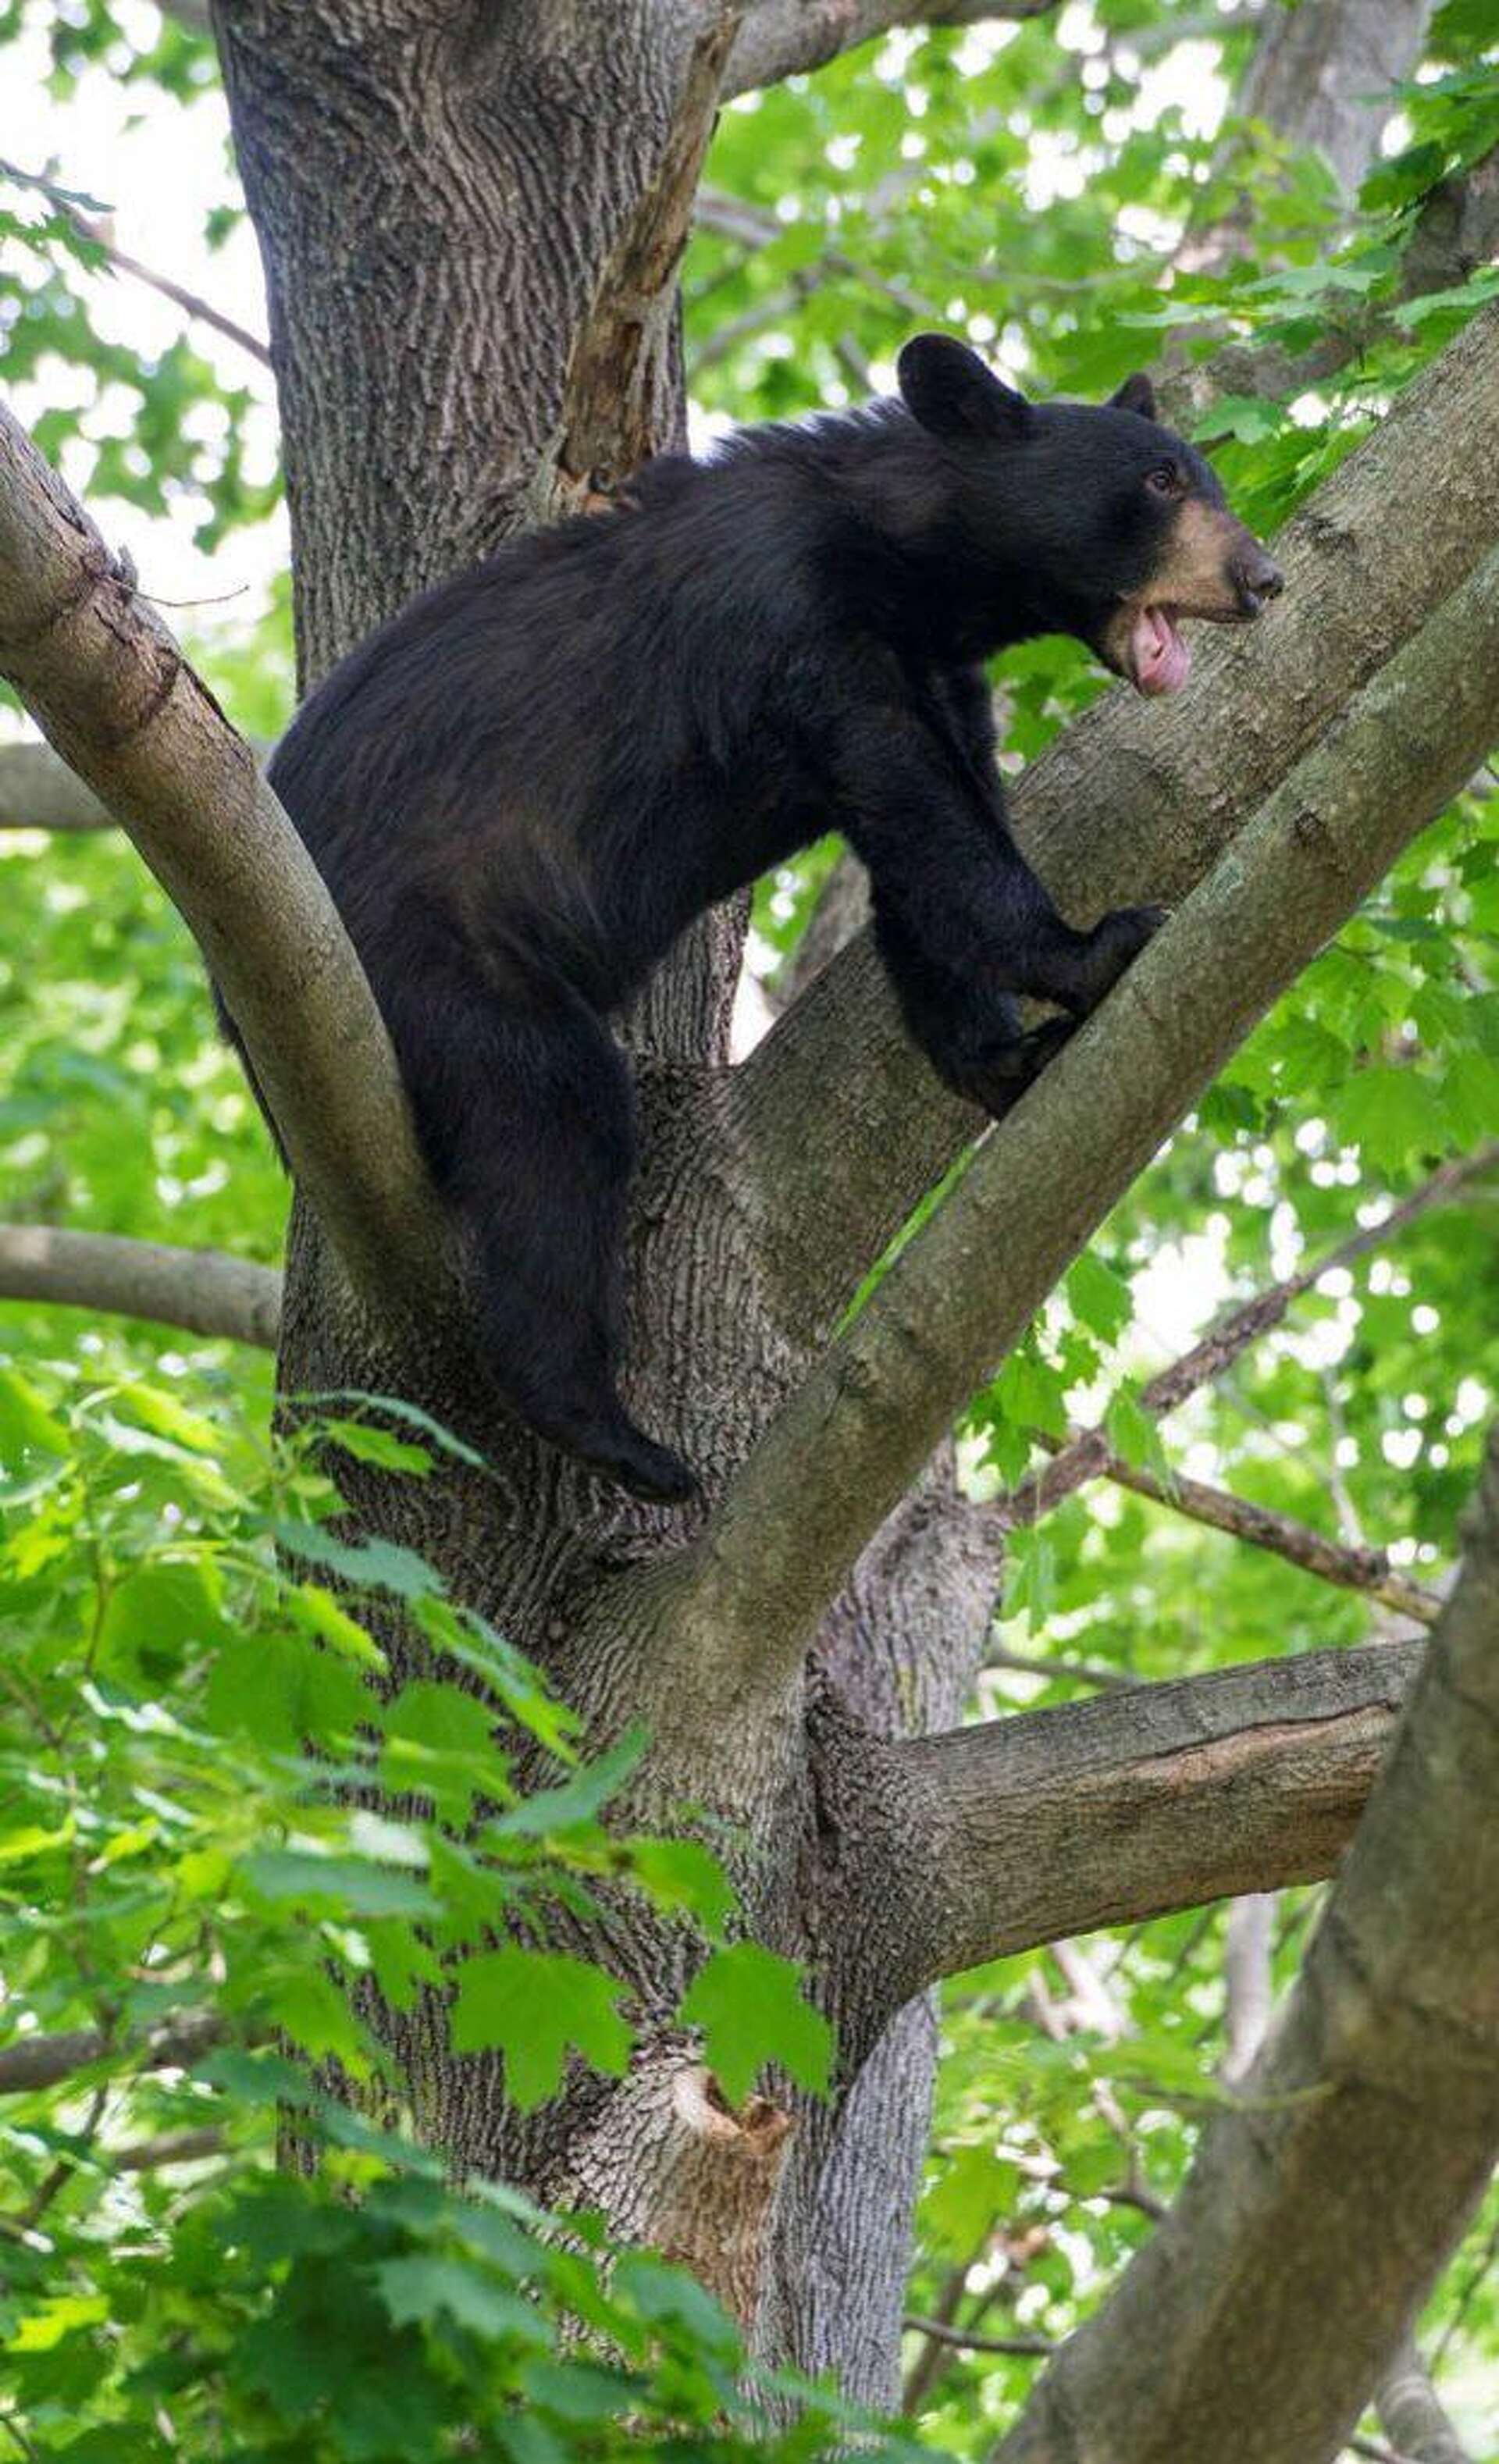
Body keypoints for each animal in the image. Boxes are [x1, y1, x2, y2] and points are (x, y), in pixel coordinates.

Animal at [224, 335, 1282, 1504]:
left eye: (1206, 476)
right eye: (1162, 480)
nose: (1262, 578)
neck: (905, 562)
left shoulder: (932, 668)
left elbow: (923, 846)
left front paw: (1000, 1057)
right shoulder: (793, 615)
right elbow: (920, 810)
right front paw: (1092, 950)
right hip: (424, 961)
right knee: (555, 1120)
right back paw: (611, 1433)